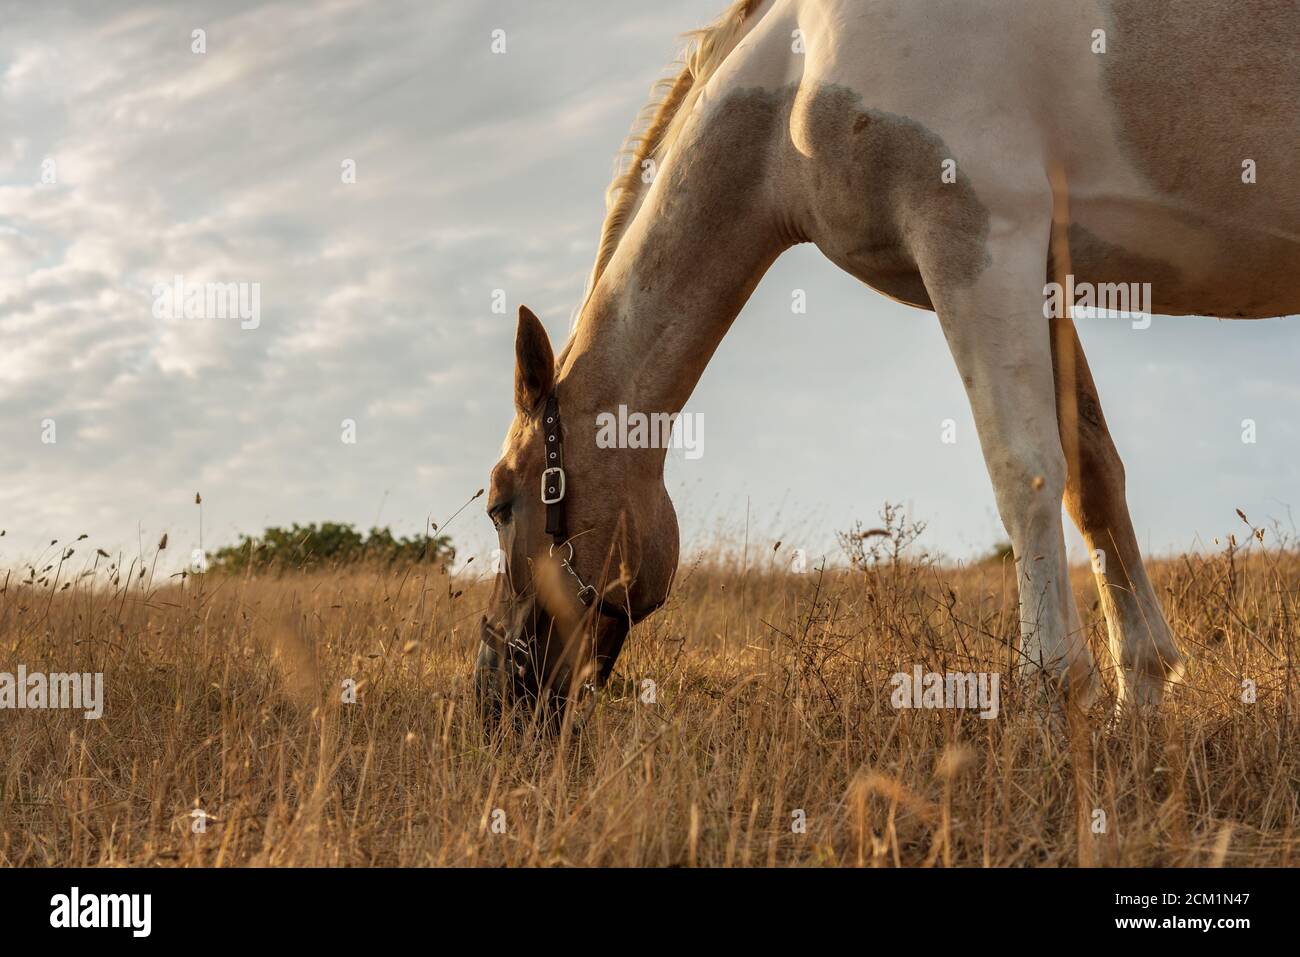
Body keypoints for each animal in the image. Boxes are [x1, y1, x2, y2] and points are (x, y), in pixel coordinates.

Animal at [476, 0, 1299, 725]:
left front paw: (1052, 701)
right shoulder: (1045, 273)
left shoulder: (975, 238)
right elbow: (1091, 477)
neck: (798, 80)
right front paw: (1141, 697)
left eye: (501, 503)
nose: (494, 693)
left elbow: (1024, 472)